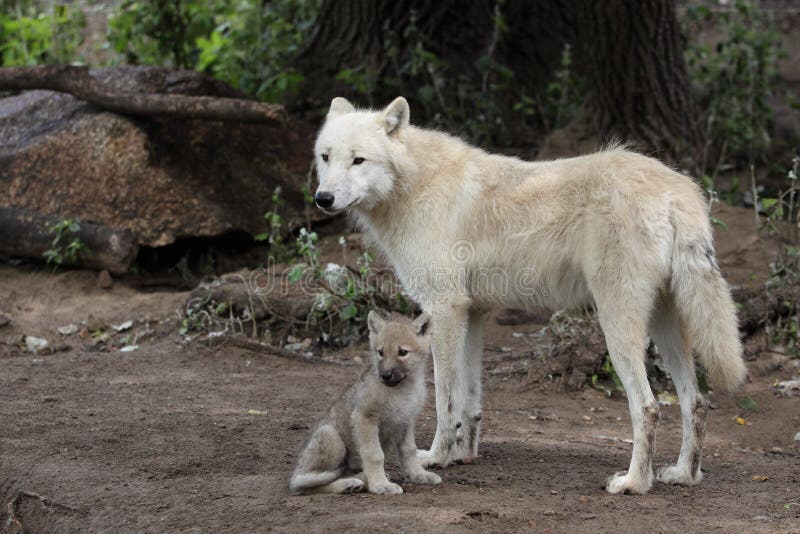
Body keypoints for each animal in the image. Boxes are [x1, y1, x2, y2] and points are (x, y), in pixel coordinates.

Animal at [289, 311, 441, 495]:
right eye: (381, 352)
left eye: (402, 352)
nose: (385, 375)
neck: (404, 389)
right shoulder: (365, 418)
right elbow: (374, 455)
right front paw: (380, 484)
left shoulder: (406, 421)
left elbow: (409, 451)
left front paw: (418, 474)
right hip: (331, 436)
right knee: (305, 484)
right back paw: (350, 483)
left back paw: (358, 480)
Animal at [311, 96, 747, 495]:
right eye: (326, 157)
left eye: (359, 160)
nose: (322, 199)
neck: (416, 183)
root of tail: (678, 190)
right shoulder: (473, 314)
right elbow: (469, 403)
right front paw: (464, 455)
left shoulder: (444, 310)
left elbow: (445, 400)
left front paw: (436, 457)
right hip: (665, 326)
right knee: (695, 402)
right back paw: (683, 475)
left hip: (618, 326)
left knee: (649, 407)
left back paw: (634, 483)